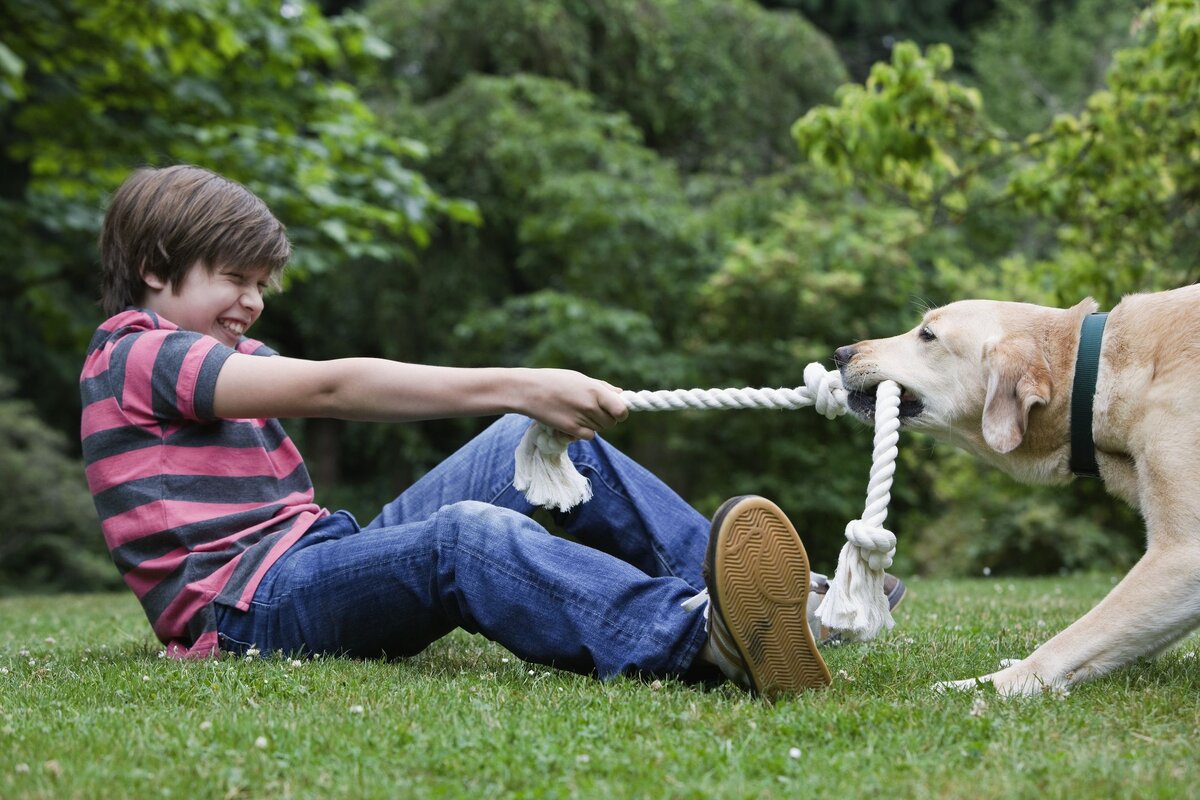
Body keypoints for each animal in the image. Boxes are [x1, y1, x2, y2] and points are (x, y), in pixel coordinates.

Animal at [830, 284, 1200, 695]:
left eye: (927, 334)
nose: (840, 353)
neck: (1094, 374)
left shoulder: (1182, 555)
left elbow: (1068, 641)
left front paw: (986, 685)